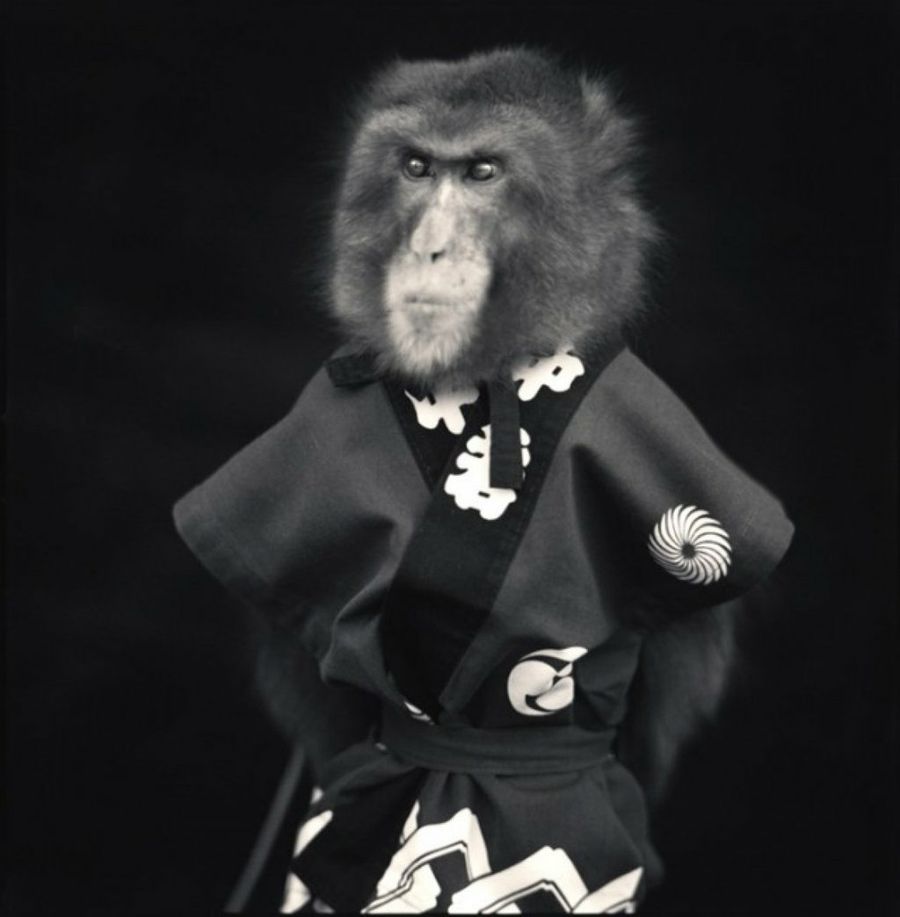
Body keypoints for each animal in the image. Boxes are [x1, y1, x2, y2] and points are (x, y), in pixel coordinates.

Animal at [173, 47, 793, 914]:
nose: (430, 245)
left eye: (483, 173)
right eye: (415, 167)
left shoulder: (652, 424)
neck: (481, 378)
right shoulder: (308, 429)